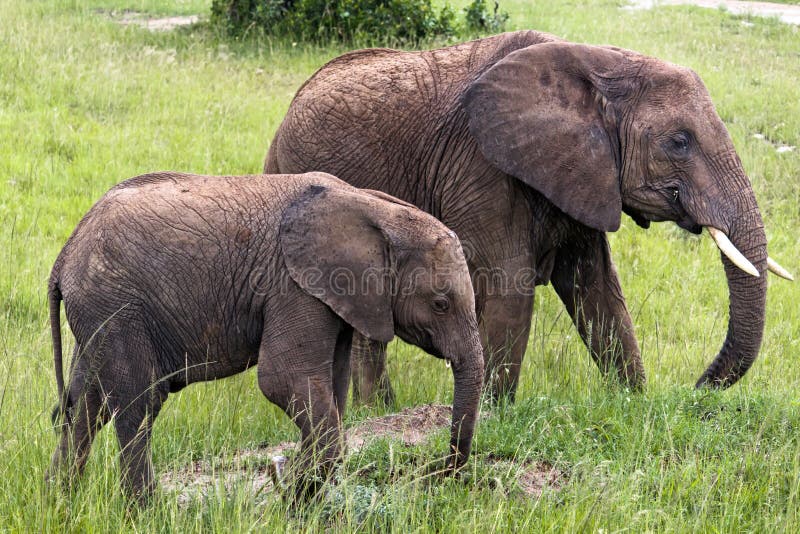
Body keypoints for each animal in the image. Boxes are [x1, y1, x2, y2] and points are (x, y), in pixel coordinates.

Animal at [46, 171, 483, 502]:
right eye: (441, 304)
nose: (442, 474)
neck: (376, 208)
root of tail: (63, 257)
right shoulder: (294, 286)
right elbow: (283, 380)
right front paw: (296, 493)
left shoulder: (336, 297)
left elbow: (332, 388)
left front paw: (301, 493)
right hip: (117, 306)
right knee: (138, 403)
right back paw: (147, 511)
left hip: (100, 315)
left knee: (85, 402)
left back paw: (61, 499)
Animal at [265, 30, 792, 404]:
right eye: (679, 142)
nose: (695, 390)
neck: (600, 65)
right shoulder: (480, 165)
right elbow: (510, 288)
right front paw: (497, 413)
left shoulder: (581, 174)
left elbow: (598, 290)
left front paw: (633, 403)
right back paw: (377, 410)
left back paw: (377, 410)